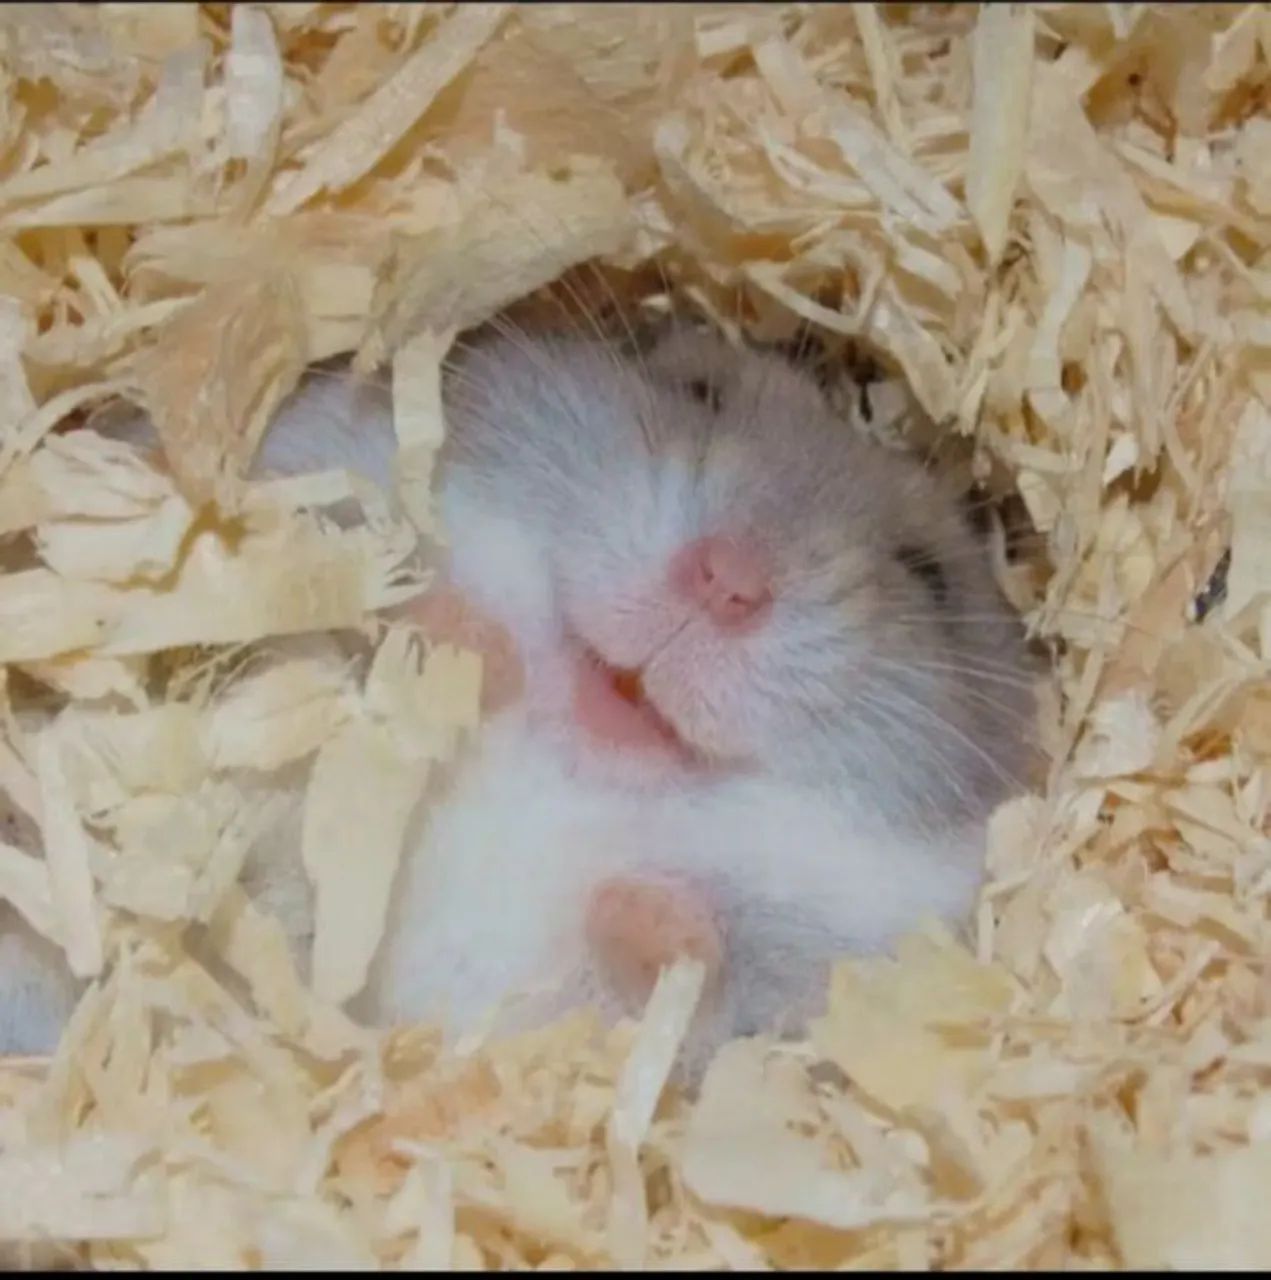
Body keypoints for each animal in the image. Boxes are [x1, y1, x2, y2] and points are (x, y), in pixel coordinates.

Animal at [0, 322, 1038, 1076]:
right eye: (691, 391)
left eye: (928, 576)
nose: (724, 581)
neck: (577, 762)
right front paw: (461, 638)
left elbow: (703, 986)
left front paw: (658, 919)